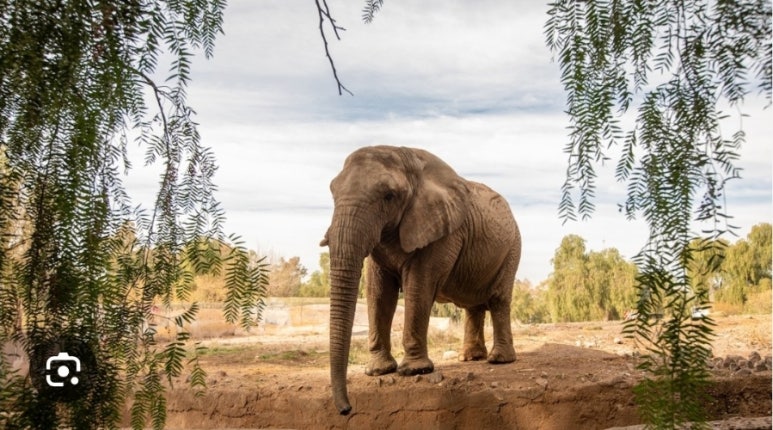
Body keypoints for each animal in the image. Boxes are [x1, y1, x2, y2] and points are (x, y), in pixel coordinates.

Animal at [320, 145, 521, 415]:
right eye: (332, 191)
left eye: (389, 196)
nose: (346, 410)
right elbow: (378, 292)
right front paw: (378, 371)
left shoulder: (443, 232)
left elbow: (419, 285)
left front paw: (416, 370)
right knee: (474, 306)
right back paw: (469, 358)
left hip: (512, 247)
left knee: (499, 299)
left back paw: (499, 360)